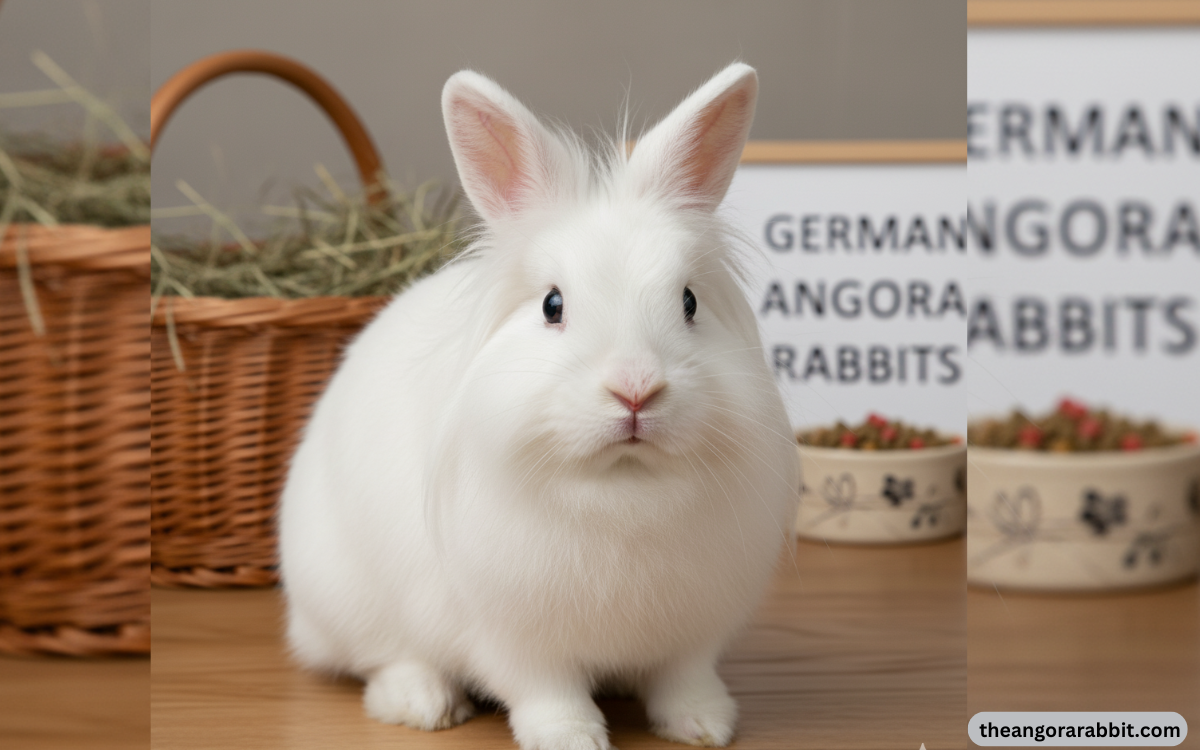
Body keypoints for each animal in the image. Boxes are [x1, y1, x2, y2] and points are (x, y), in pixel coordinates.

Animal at [279, 62, 800, 750]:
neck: (624, 489)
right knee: (381, 659)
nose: (636, 387)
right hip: (348, 599)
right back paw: (424, 704)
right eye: (553, 305)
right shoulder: (515, 637)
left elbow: (683, 678)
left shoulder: (693, 632)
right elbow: (545, 692)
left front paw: (706, 725)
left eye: (689, 301)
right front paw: (572, 739)